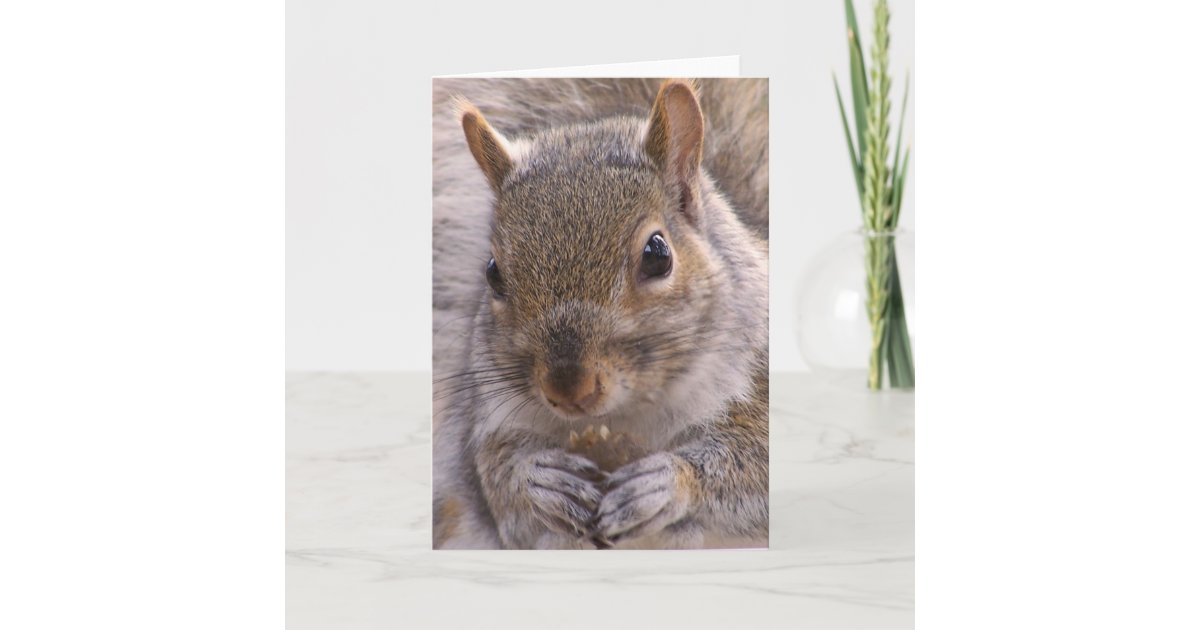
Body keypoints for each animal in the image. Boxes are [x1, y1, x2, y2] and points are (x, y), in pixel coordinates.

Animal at [432, 78, 768, 549]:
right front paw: (538, 481)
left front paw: (667, 483)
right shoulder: (494, 419)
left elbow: (754, 467)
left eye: (657, 254)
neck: (626, 415)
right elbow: (501, 484)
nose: (568, 389)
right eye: (493, 272)